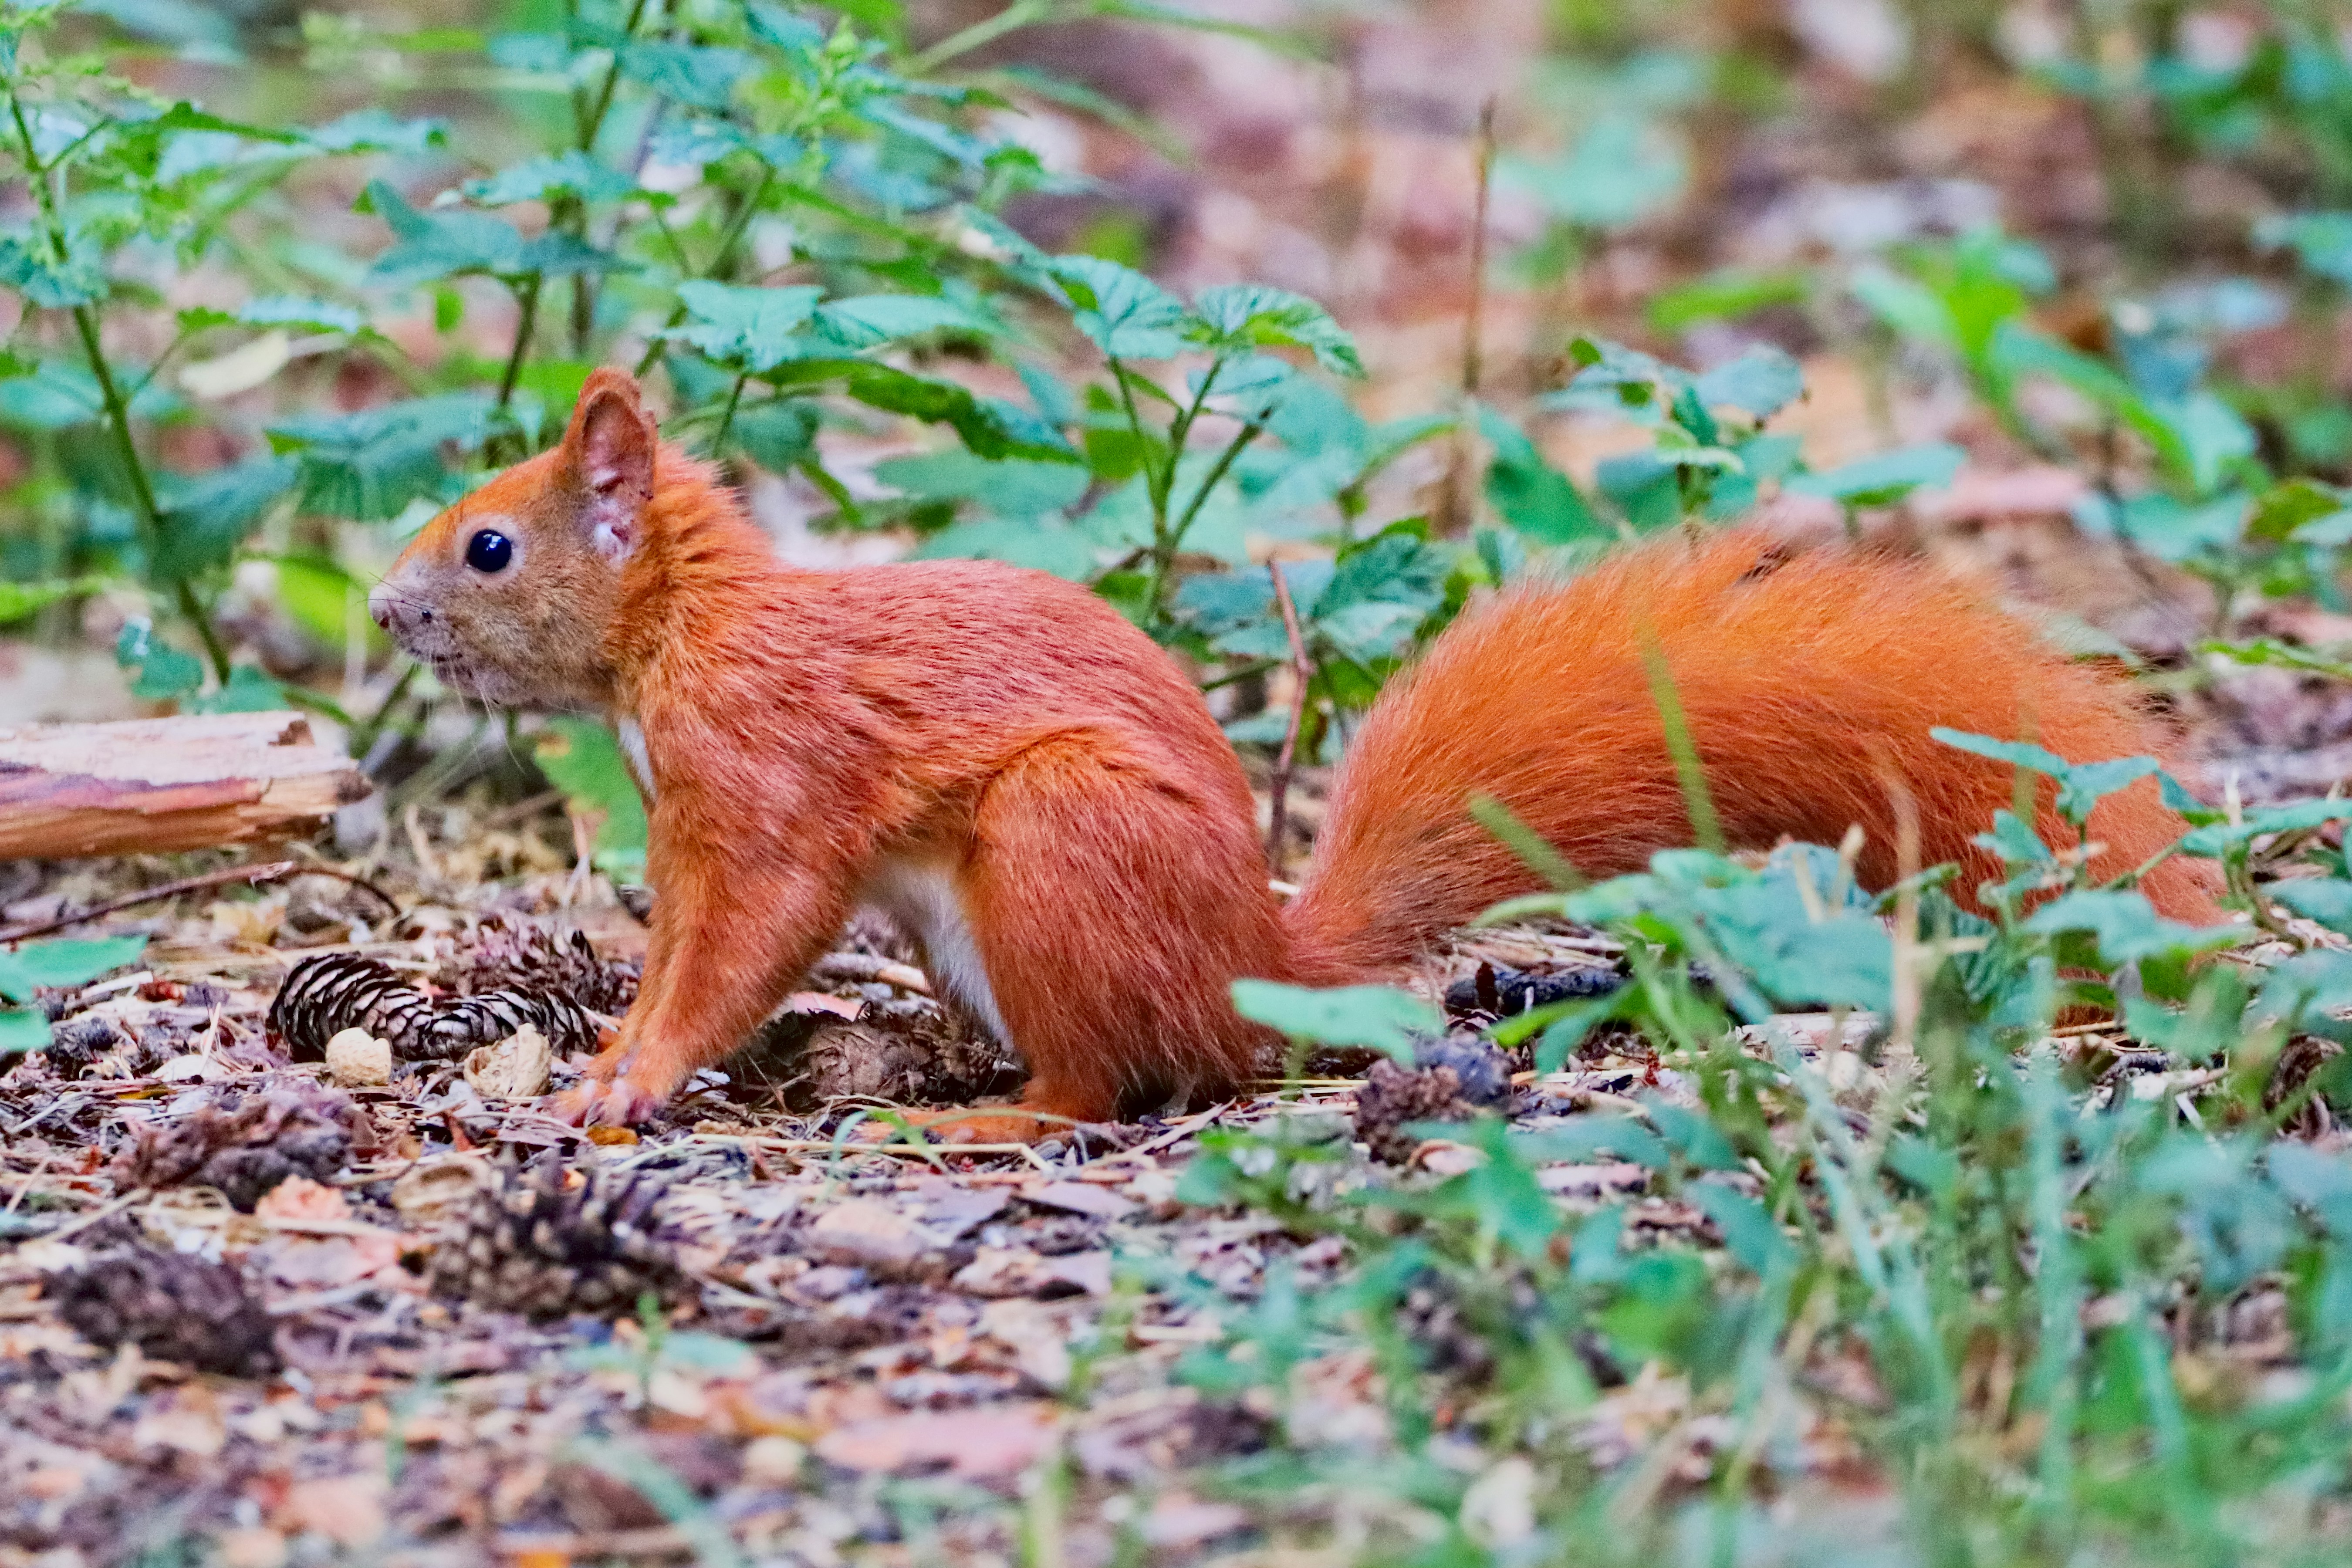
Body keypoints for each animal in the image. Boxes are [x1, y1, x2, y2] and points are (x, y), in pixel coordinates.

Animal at [368, 368, 2221, 1136]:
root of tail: (1249, 967)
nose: (386, 612)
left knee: (1110, 1085)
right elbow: (678, 950)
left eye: (489, 546)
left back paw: (985, 1127)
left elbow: (741, 941)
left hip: (1056, 842)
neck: (687, 640)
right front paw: (605, 1057)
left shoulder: (761, 789)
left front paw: (633, 1077)